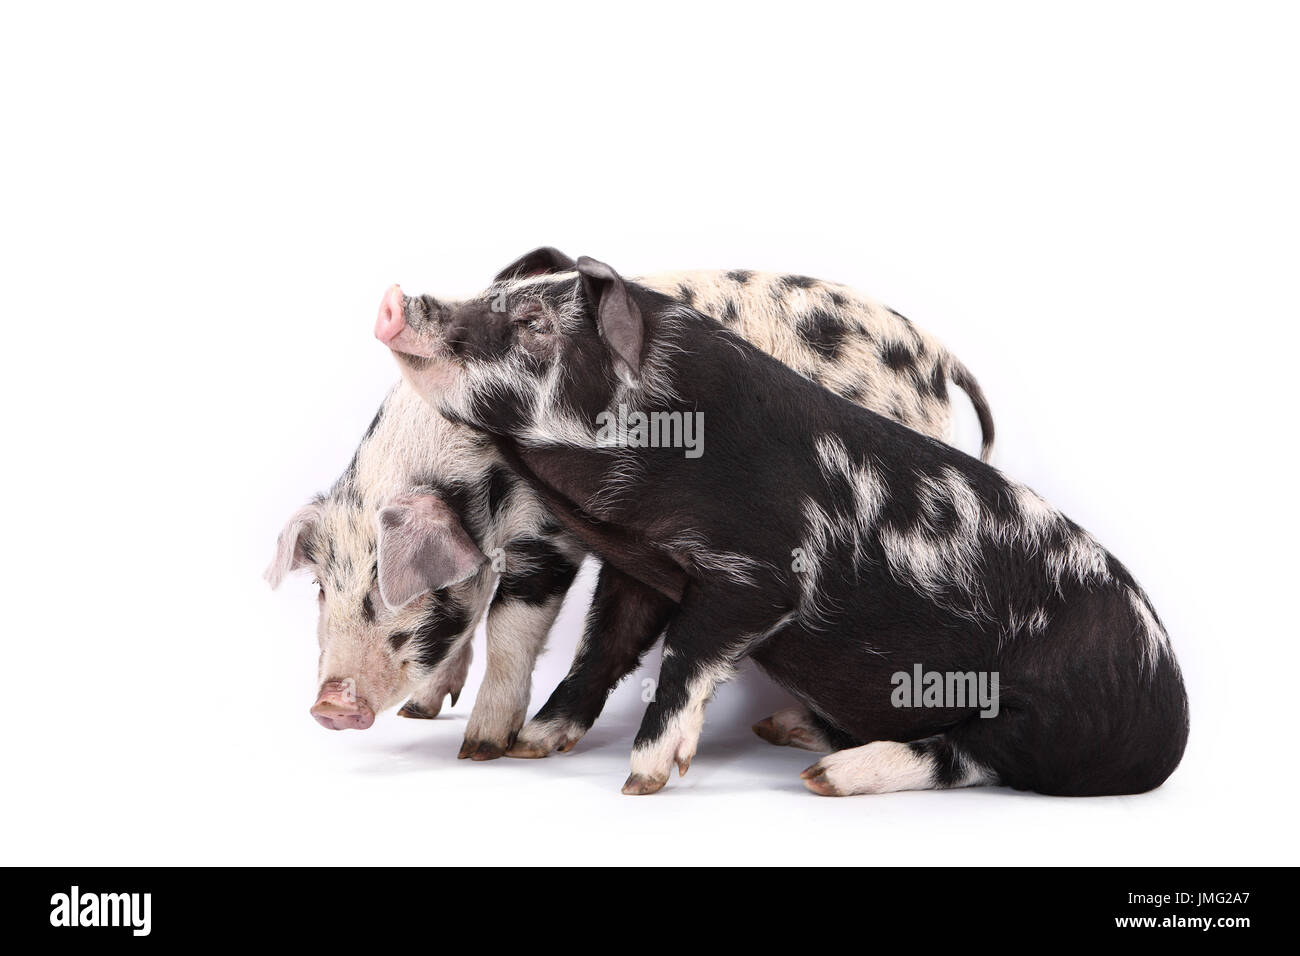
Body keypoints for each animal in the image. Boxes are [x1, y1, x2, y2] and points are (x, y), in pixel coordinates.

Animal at [268, 246, 995, 760]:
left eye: (397, 597)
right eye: (323, 592)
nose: (329, 707)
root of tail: (939, 358)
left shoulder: (545, 535)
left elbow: (512, 627)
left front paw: (483, 747)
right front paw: (425, 711)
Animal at [379, 254, 1188, 797]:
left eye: (533, 324)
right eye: (495, 294)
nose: (393, 299)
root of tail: (1172, 720)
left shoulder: (759, 578)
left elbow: (686, 657)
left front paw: (642, 781)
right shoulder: (646, 574)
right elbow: (601, 649)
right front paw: (531, 745)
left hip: (1042, 719)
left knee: (965, 755)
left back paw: (823, 775)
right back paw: (784, 731)